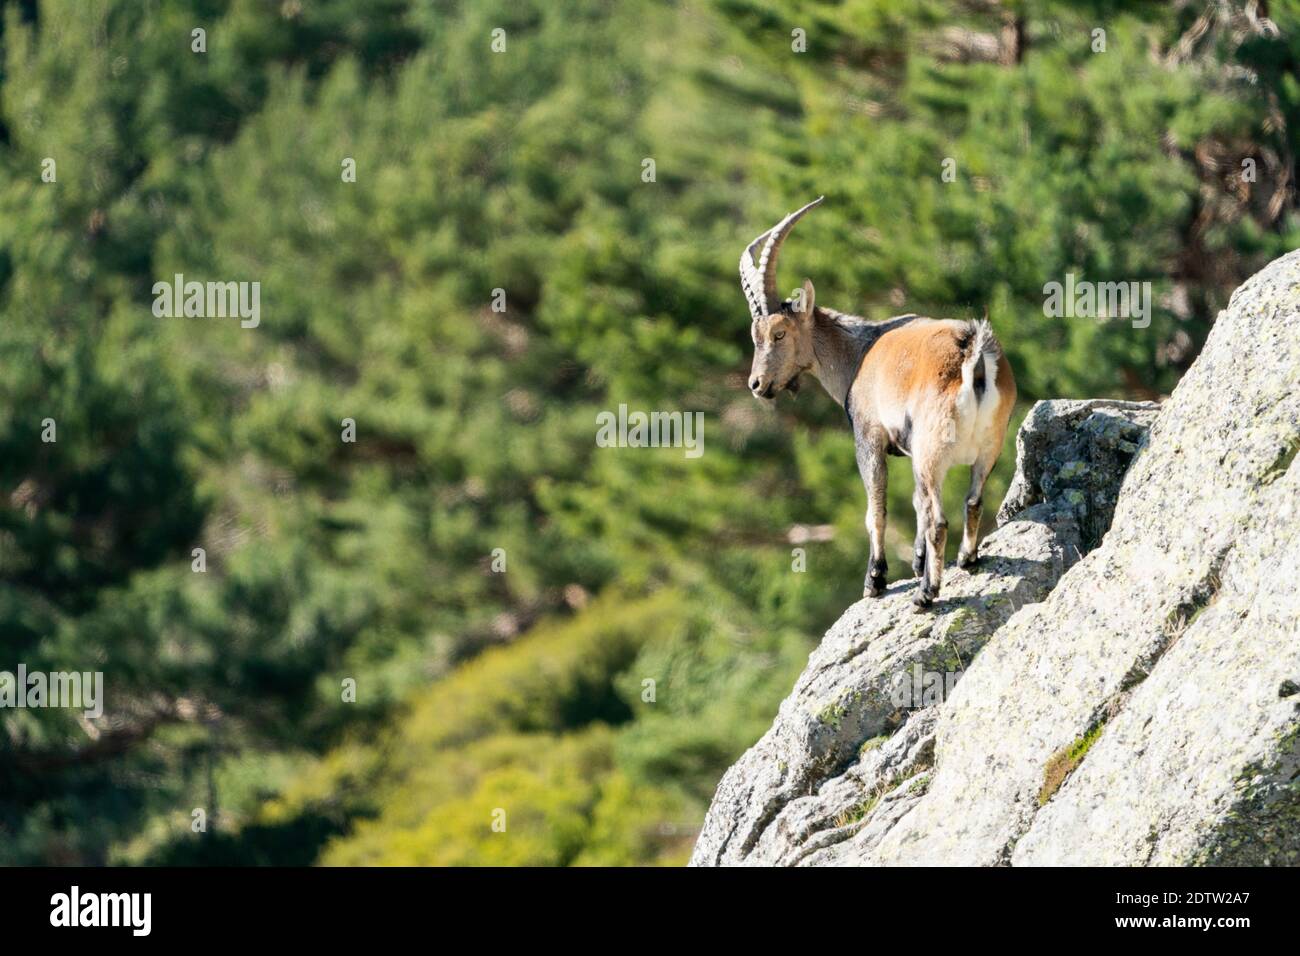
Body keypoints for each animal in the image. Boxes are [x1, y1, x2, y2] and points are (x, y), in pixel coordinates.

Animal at [739, 196, 1016, 609]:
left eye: (779, 333)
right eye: (755, 334)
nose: (757, 384)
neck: (859, 352)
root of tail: (975, 354)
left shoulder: (869, 438)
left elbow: (877, 510)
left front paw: (875, 580)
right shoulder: (912, 451)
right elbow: (916, 505)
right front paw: (916, 561)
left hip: (932, 449)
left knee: (939, 520)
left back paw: (926, 595)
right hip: (987, 447)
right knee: (971, 501)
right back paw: (967, 560)